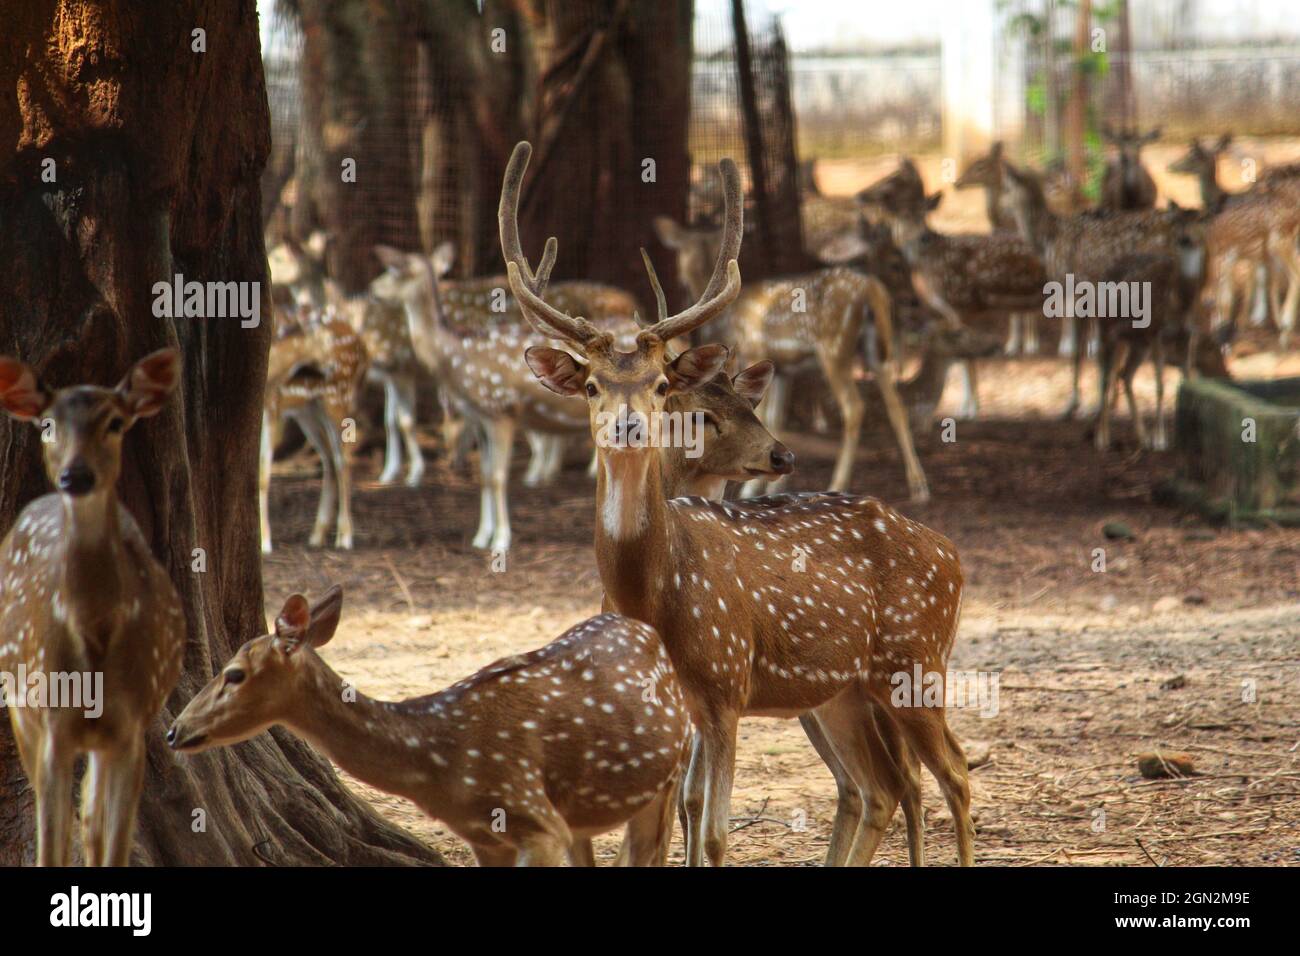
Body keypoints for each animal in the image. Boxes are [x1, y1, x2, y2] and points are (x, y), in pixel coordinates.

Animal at [0, 349, 186, 866]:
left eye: (115, 422)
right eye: (47, 423)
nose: (75, 475)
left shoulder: (132, 726)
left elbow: (112, 841)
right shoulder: (52, 722)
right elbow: (50, 842)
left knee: (91, 821)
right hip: (19, 703)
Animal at [168, 586, 692, 866]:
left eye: (234, 673)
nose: (174, 730)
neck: (442, 759)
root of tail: (649, 632)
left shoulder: (536, 818)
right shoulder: (485, 835)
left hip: (669, 776)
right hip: (586, 807)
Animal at [261, 306, 369, 554]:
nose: (328, 366)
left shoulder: (271, 408)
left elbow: (262, 476)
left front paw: (264, 542)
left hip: (337, 398)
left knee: (343, 461)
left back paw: (344, 537)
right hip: (309, 410)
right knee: (328, 458)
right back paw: (317, 535)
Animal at [653, 216, 931, 502]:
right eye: (897, 263)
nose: (914, 300)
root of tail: (872, 290)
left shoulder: (754, 348)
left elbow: (765, 413)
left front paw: (754, 487)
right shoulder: (783, 369)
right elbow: (776, 417)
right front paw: (774, 483)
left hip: (834, 348)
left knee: (854, 406)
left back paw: (838, 482)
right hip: (875, 350)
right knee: (897, 404)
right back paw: (919, 487)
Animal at [857, 159, 1047, 419]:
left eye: (895, 179)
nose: (860, 194)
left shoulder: (962, 303)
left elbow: (967, 358)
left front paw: (969, 410)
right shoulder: (952, 311)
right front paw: (967, 408)